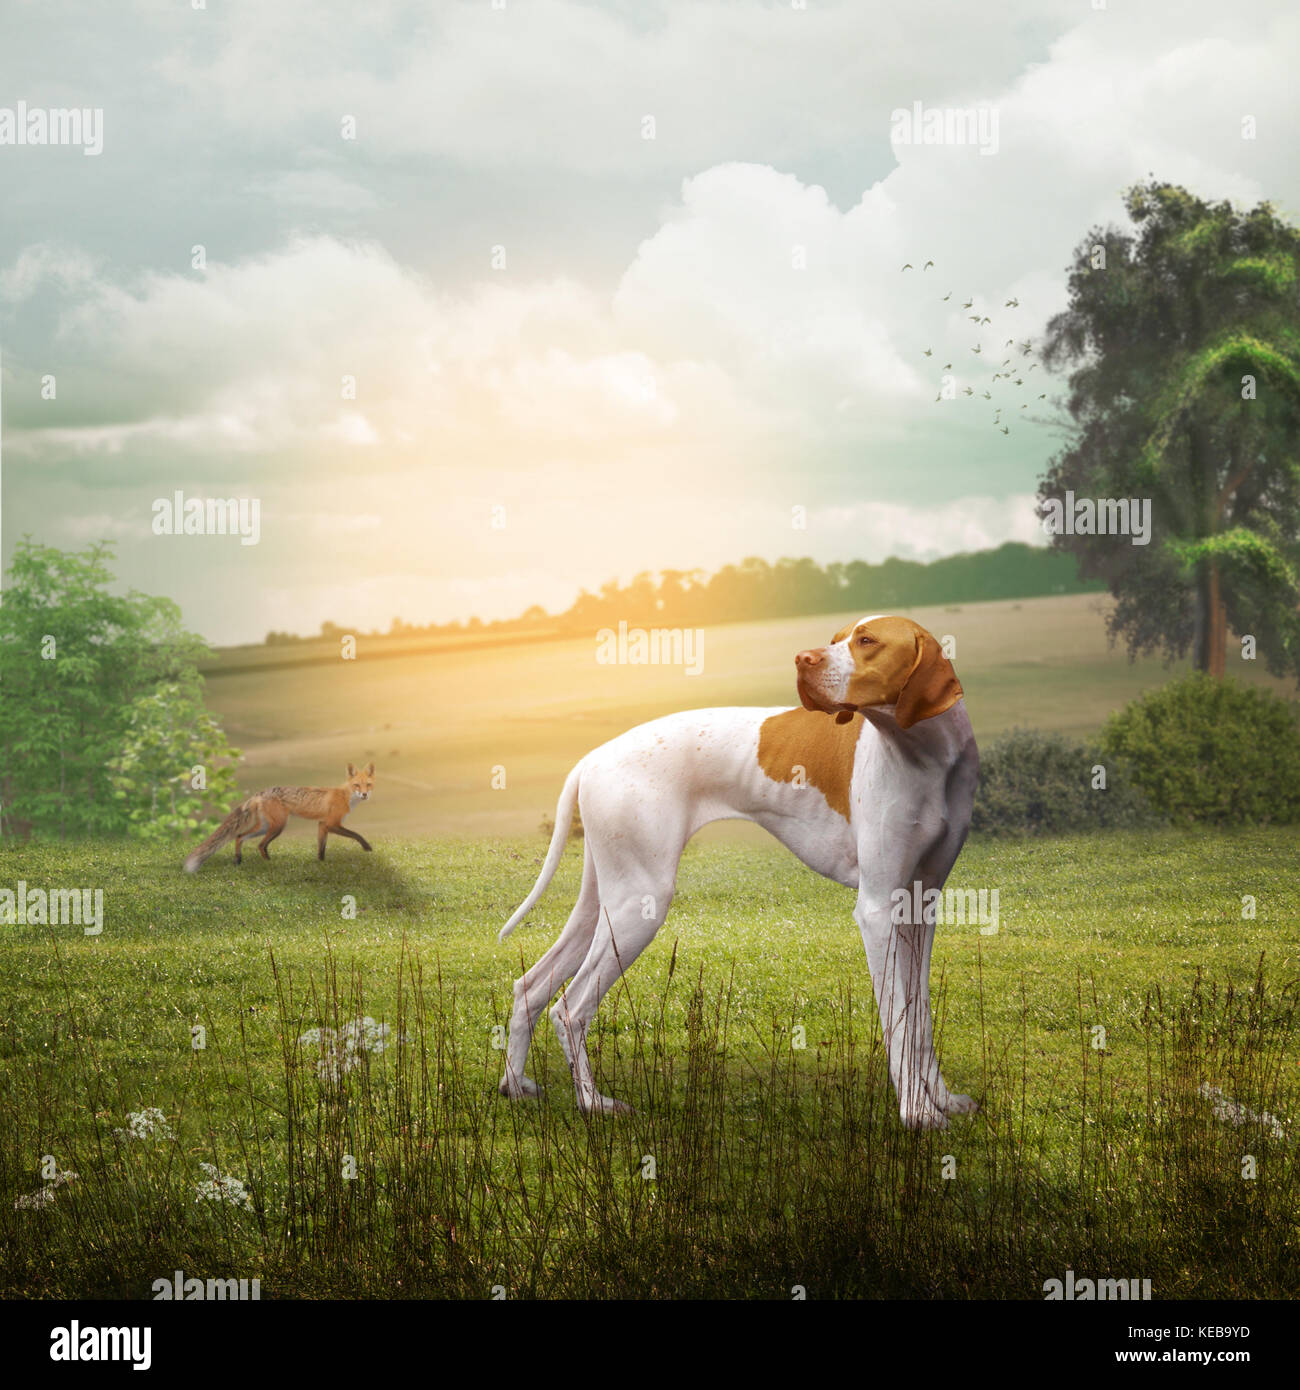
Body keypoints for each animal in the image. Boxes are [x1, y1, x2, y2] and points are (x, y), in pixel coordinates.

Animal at [183, 763, 375, 873]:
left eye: (368, 785)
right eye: (356, 785)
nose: (365, 794)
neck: (346, 796)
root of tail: (260, 793)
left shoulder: (322, 825)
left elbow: (321, 849)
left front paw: (321, 864)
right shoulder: (331, 823)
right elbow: (356, 834)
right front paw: (367, 847)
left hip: (264, 827)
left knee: (239, 836)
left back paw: (238, 860)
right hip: (278, 826)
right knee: (260, 845)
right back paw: (270, 864)